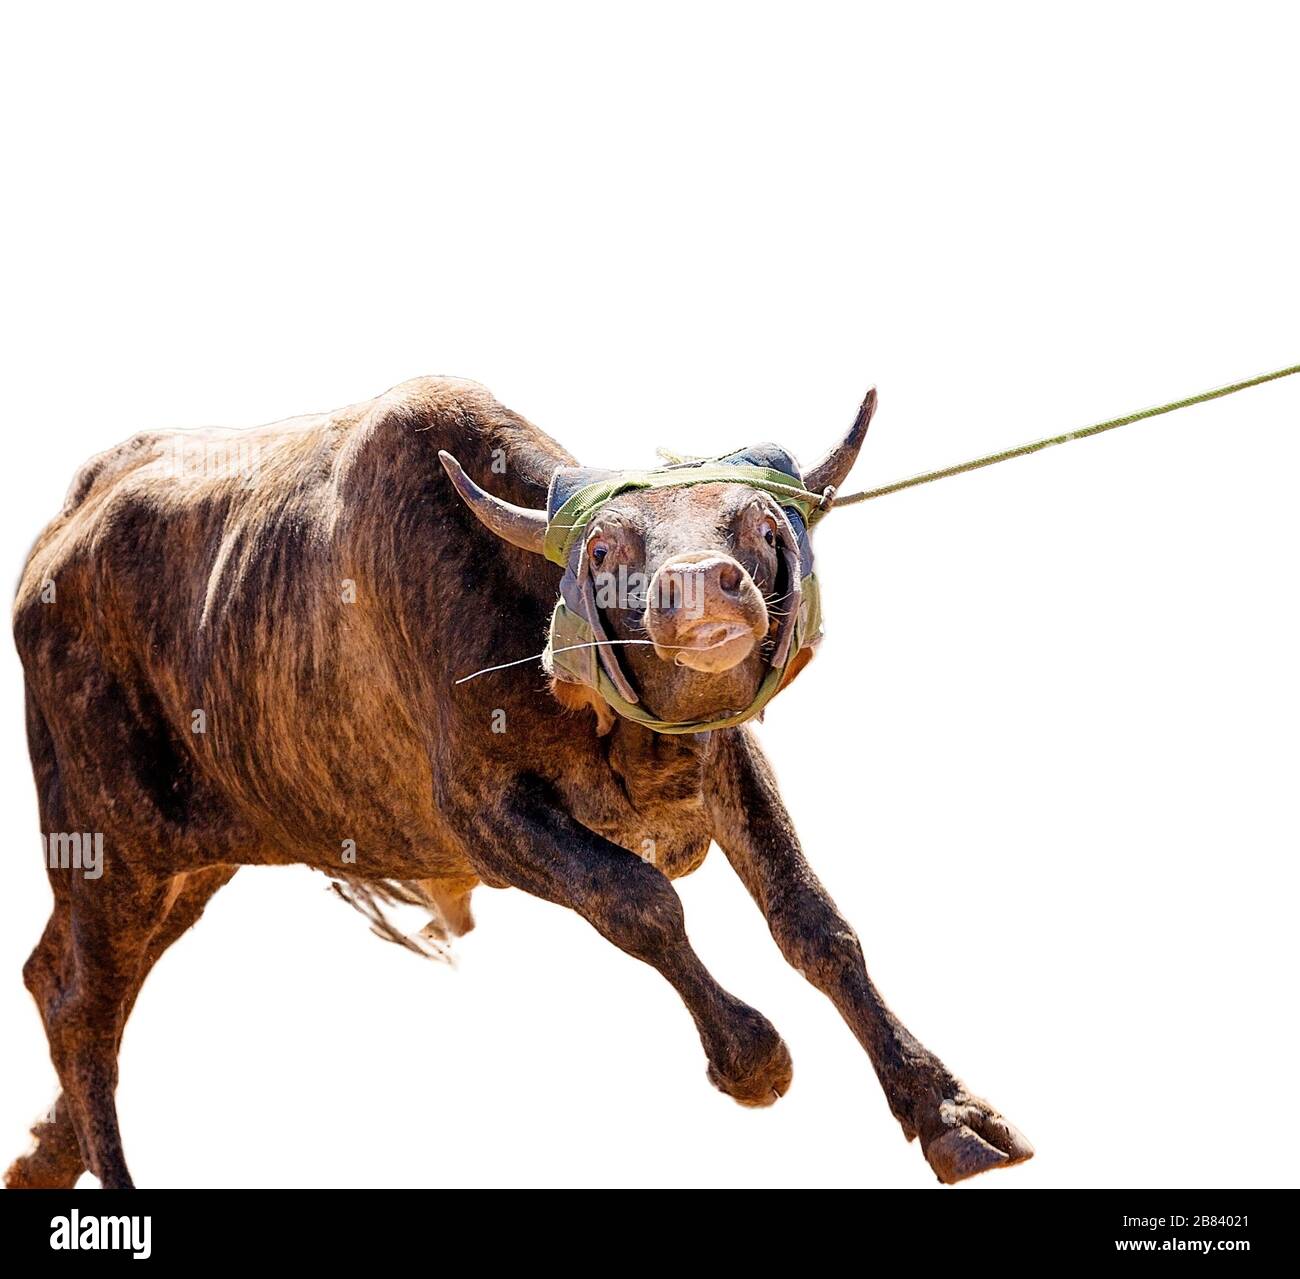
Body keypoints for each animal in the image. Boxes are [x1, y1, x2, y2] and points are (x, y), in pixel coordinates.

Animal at [7, 376, 1032, 1188]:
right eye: (608, 549)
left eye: (753, 523)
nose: (703, 585)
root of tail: (51, 553)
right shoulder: (484, 817)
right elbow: (638, 899)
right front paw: (749, 1054)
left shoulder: (724, 759)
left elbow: (814, 923)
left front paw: (948, 1114)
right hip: (107, 849)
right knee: (77, 999)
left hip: (188, 867)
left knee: (72, 983)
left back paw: (46, 1150)